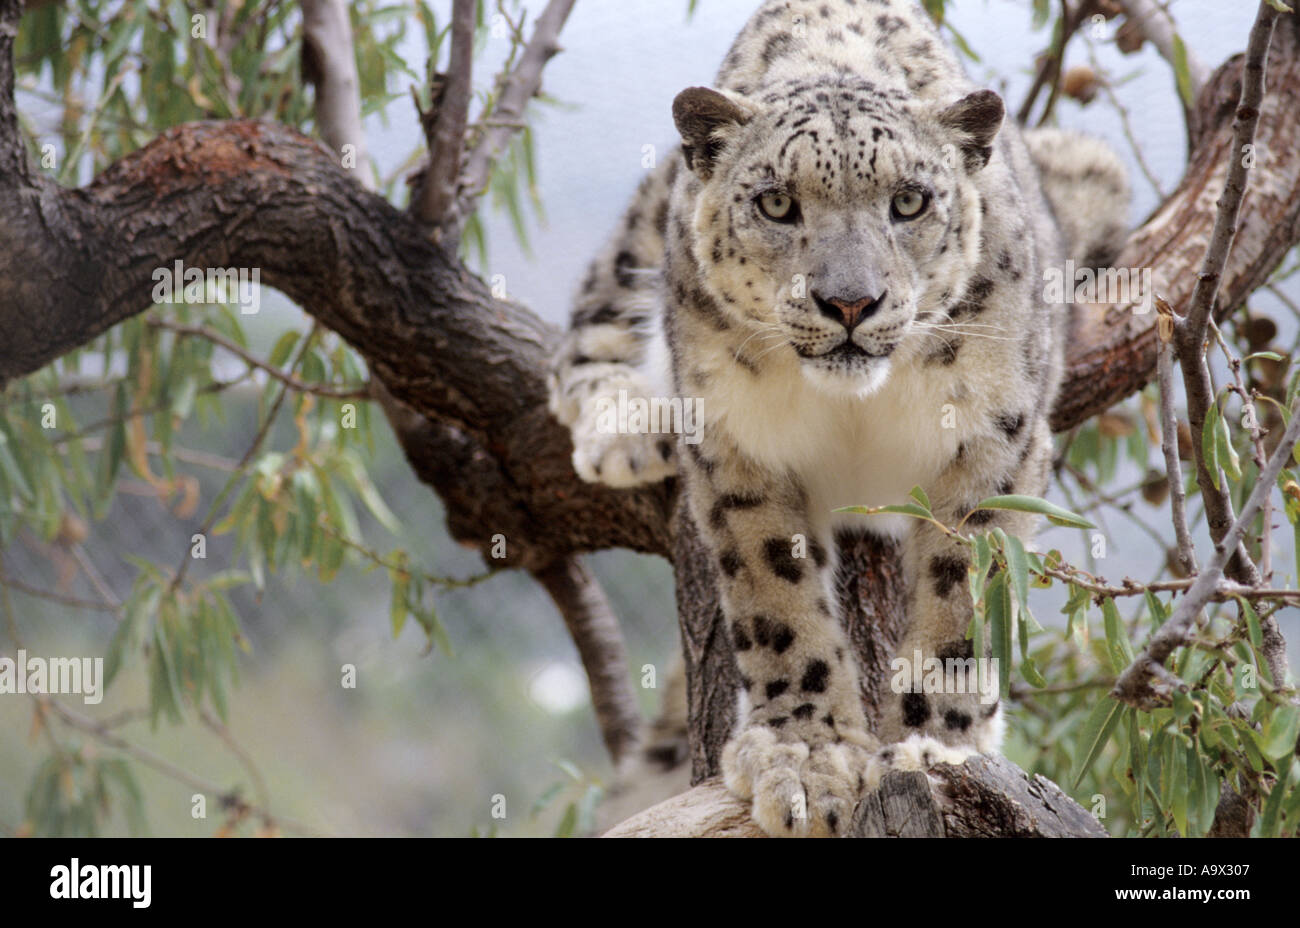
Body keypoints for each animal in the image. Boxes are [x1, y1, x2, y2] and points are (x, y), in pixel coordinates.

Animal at [548, 0, 1129, 837]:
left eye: (910, 200)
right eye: (776, 202)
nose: (850, 302)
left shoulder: (994, 441)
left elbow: (960, 602)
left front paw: (932, 746)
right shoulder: (739, 444)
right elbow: (778, 598)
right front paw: (804, 755)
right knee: (599, 302)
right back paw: (624, 422)